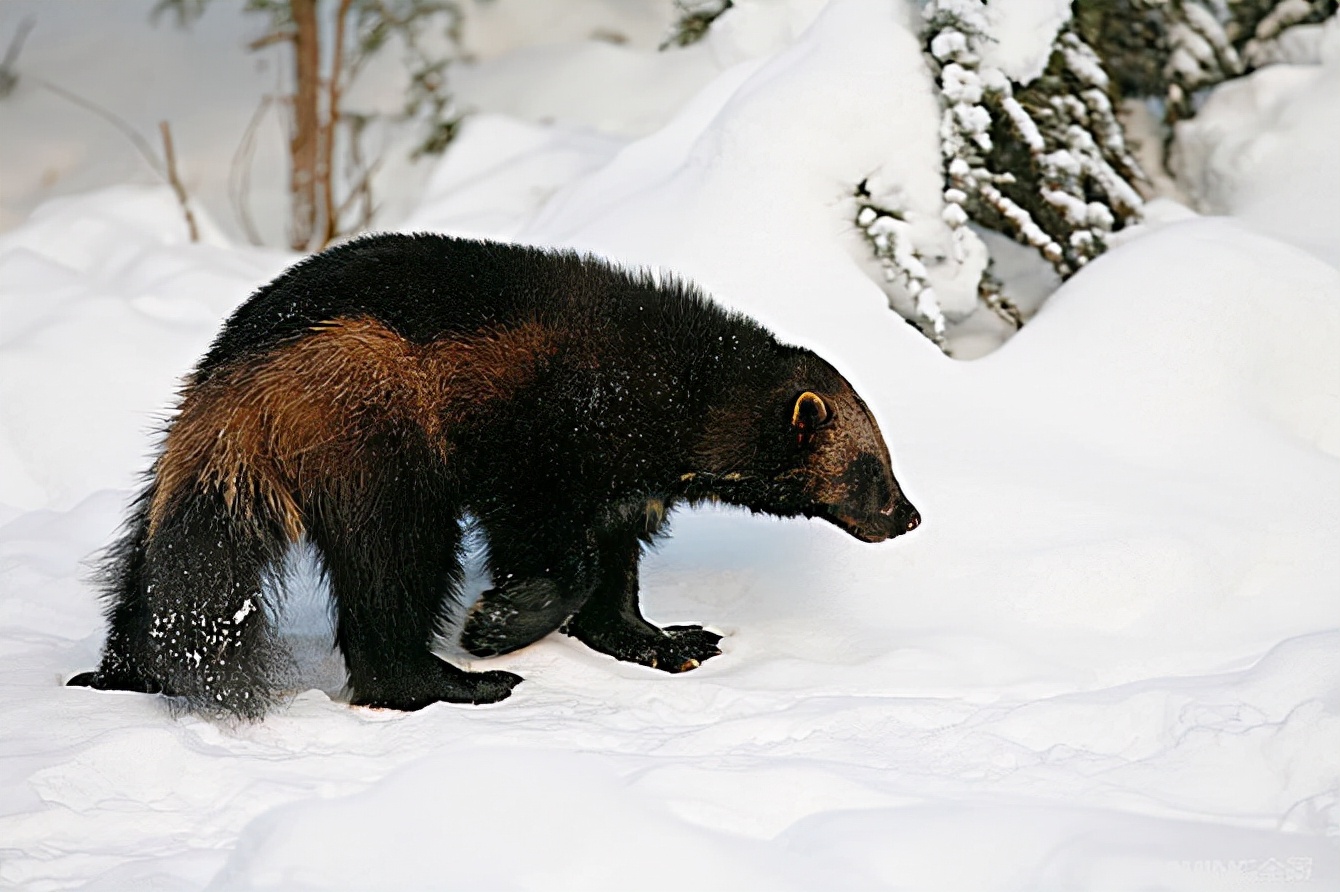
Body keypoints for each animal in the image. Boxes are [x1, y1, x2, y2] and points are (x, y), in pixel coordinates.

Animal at [68, 234, 920, 719]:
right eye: (869, 464)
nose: (909, 515)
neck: (674, 385)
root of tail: (241, 374)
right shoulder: (546, 450)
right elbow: (562, 559)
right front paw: (500, 622)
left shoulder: (622, 488)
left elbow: (614, 580)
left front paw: (663, 640)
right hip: (383, 454)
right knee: (391, 582)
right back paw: (451, 682)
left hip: (186, 467)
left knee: (152, 565)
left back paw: (122, 674)